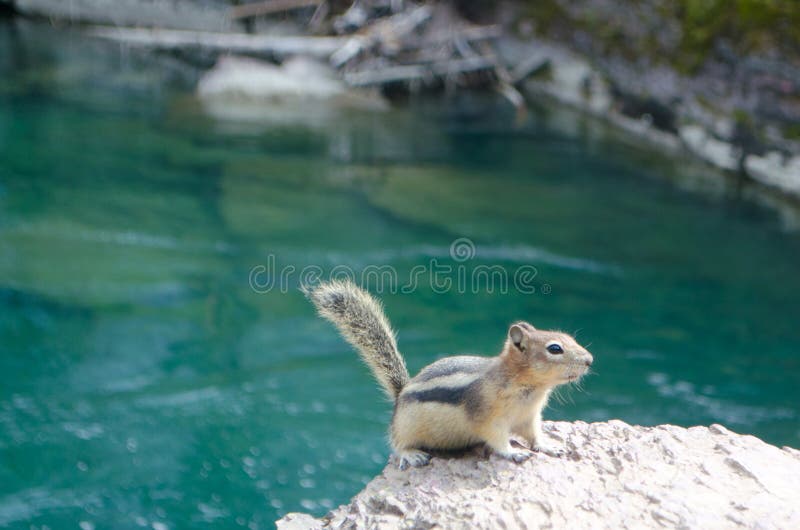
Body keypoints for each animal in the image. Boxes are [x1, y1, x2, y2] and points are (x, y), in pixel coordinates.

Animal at [303, 280, 594, 470]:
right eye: (555, 348)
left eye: (569, 339)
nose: (590, 360)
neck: (528, 389)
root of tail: (400, 394)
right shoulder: (488, 418)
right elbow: (497, 439)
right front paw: (513, 453)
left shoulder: (529, 417)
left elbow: (534, 435)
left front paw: (548, 445)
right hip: (406, 426)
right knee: (396, 443)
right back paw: (412, 454)